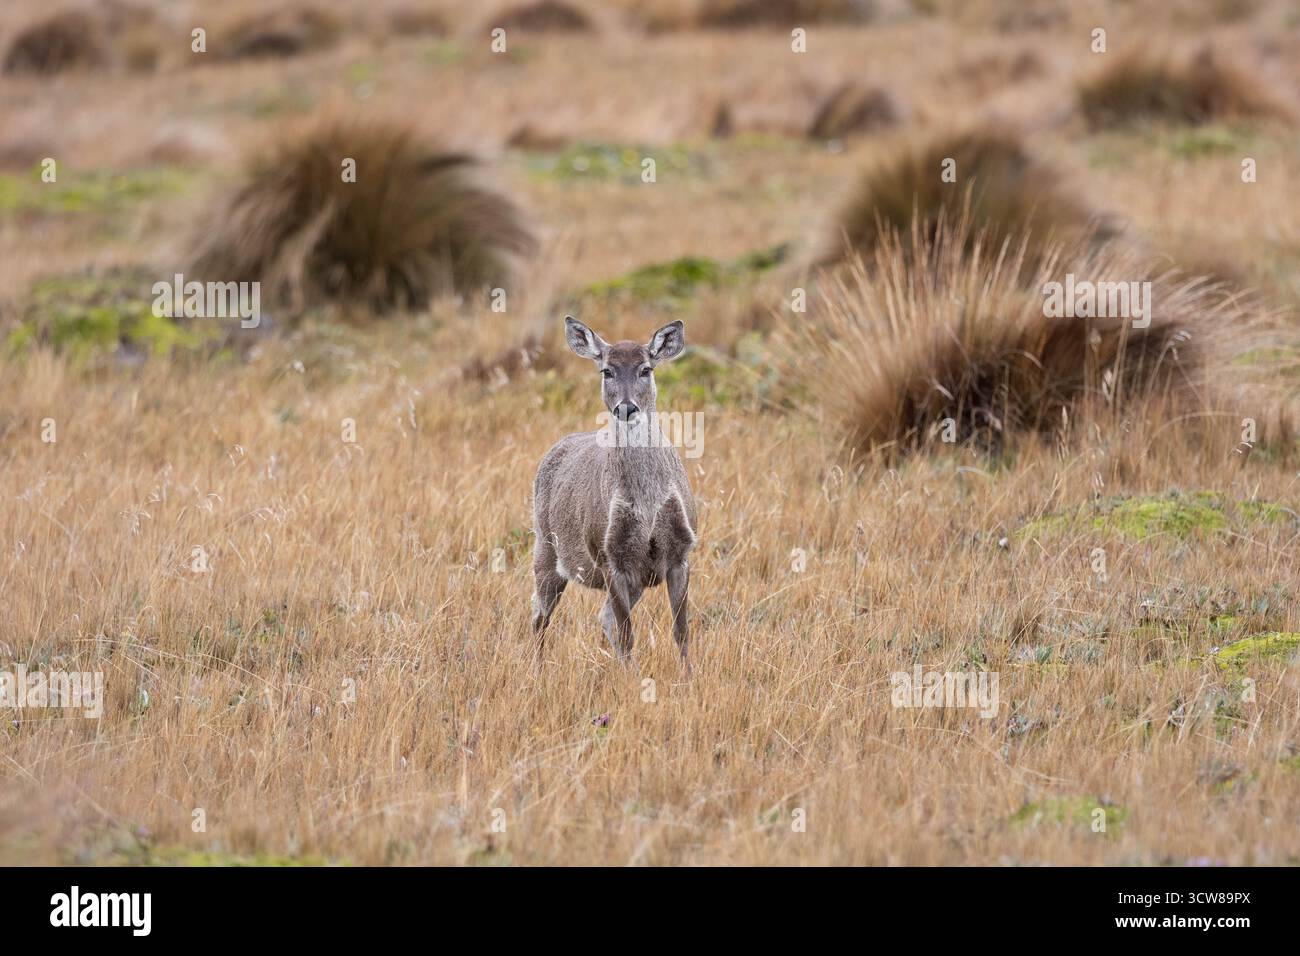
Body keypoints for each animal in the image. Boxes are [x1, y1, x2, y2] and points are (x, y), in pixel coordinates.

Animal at [530, 316, 698, 670]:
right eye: (606, 371)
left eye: (646, 369)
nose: (626, 407)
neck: (647, 504)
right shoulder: (608, 555)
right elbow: (627, 634)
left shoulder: (681, 551)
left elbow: (681, 632)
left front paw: (689, 676)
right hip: (545, 547)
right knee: (540, 616)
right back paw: (535, 671)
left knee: (602, 617)